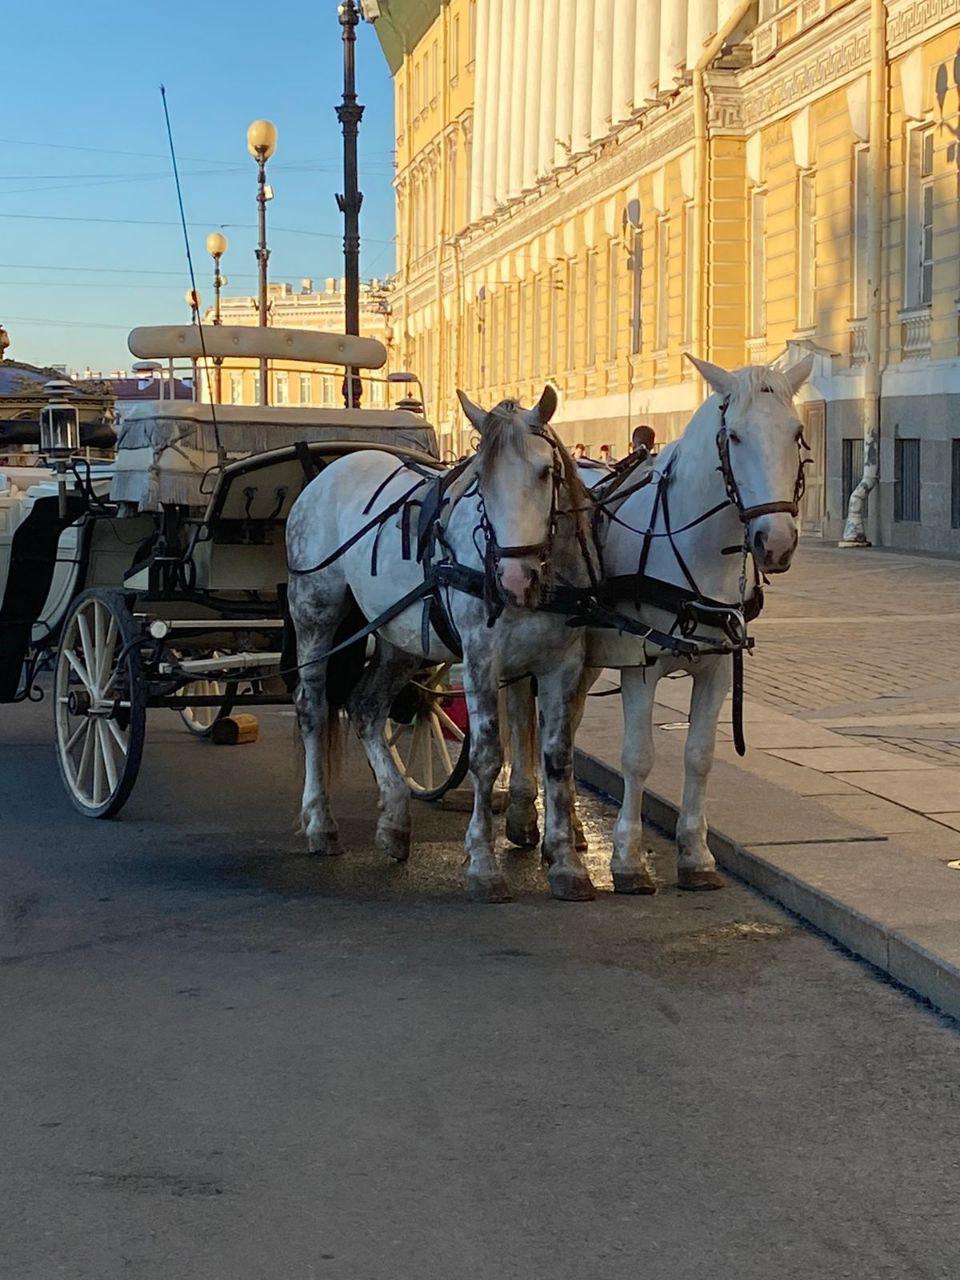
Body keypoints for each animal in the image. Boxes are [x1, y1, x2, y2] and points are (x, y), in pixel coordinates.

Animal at [288, 386, 601, 901]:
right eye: (481, 482)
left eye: (545, 472)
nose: (515, 578)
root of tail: (330, 469)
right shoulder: (480, 660)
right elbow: (486, 756)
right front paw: (483, 863)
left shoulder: (564, 664)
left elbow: (559, 756)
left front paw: (566, 864)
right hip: (314, 612)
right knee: (313, 706)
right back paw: (319, 822)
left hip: (398, 636)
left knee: (366, 707)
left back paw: (395, 819)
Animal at [506, 350, 814, 890]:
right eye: (734, 436)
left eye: (796, 432)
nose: (775, 543)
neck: (698, 553)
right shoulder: (640, 668)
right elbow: (638, 756)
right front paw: (628, 859)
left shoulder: (717, 668)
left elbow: (700, 754)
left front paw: (696, 853)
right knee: (522, 713)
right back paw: (524, 814)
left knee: (562, 724)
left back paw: (569, 831)